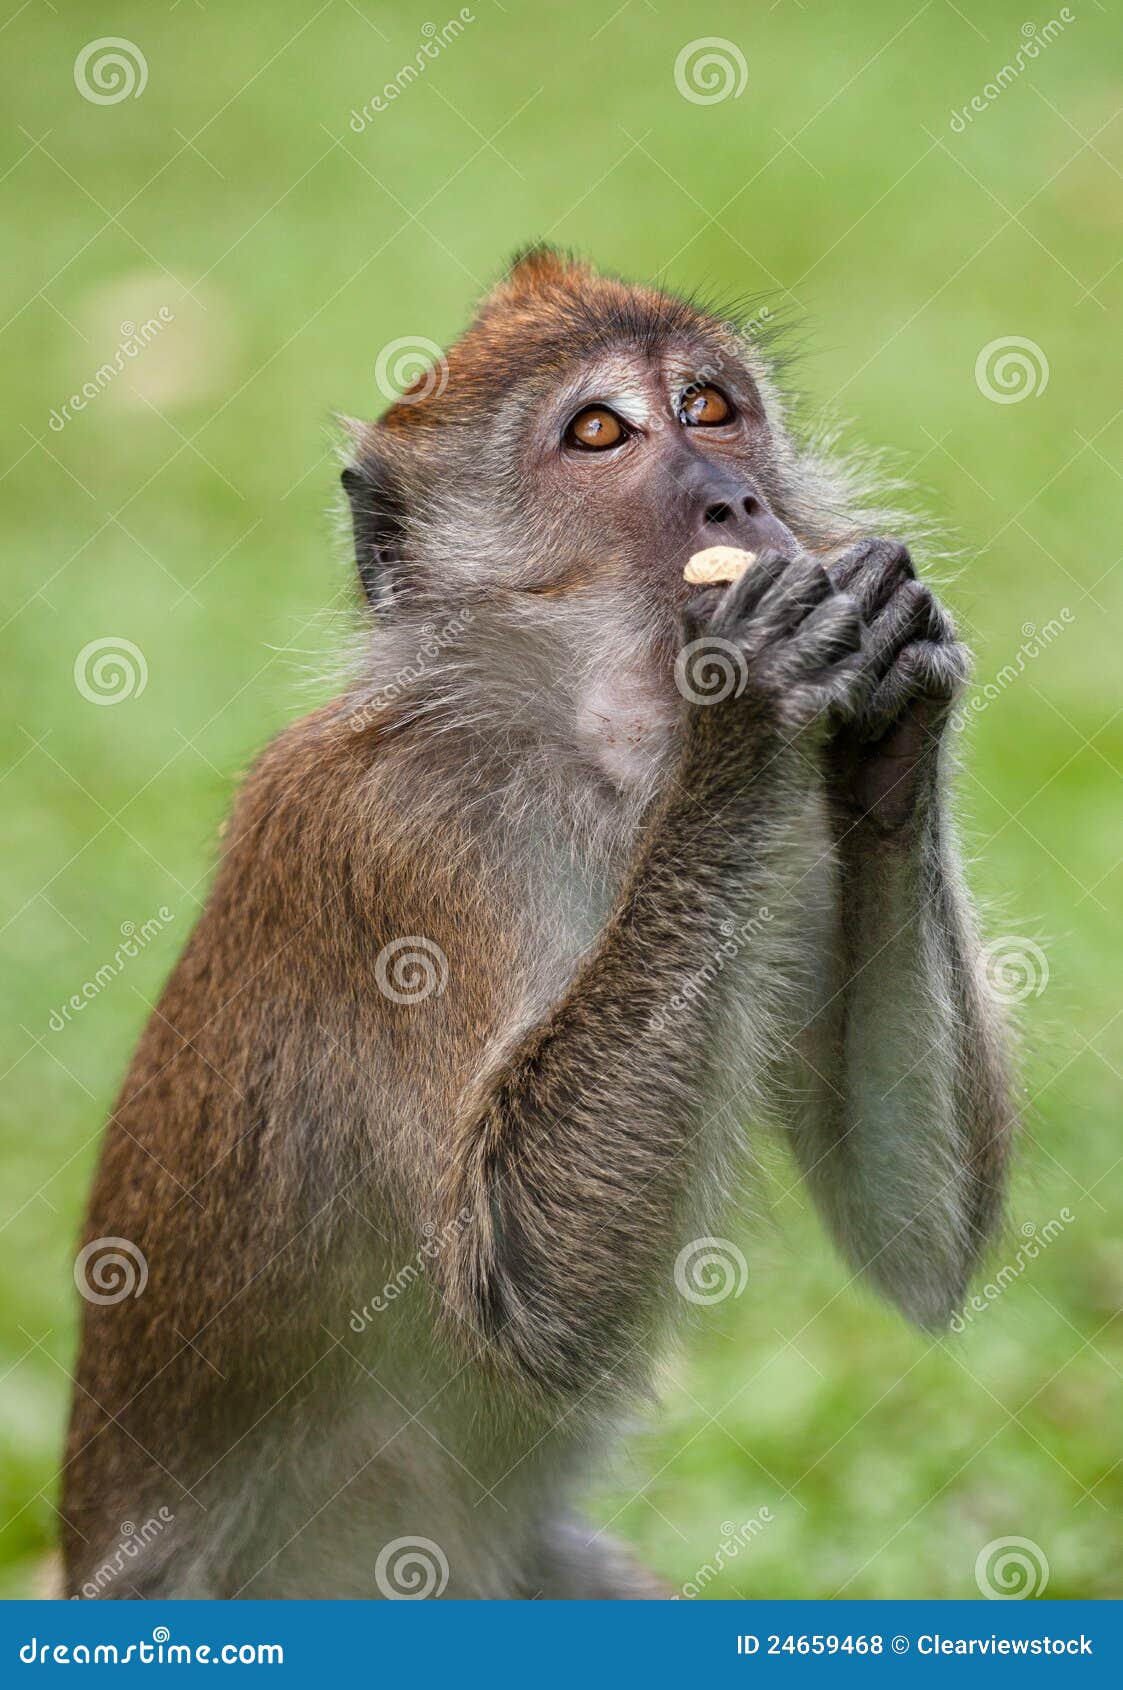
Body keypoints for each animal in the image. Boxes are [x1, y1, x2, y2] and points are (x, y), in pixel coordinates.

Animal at [60, 247, 1014, 1600]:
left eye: (710, 407)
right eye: (600, 433)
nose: (734, 497)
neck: (594, 759)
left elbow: (914, 1244)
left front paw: (898, 706)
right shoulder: (402, 852)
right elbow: (522, 1285)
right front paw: (744, 696)